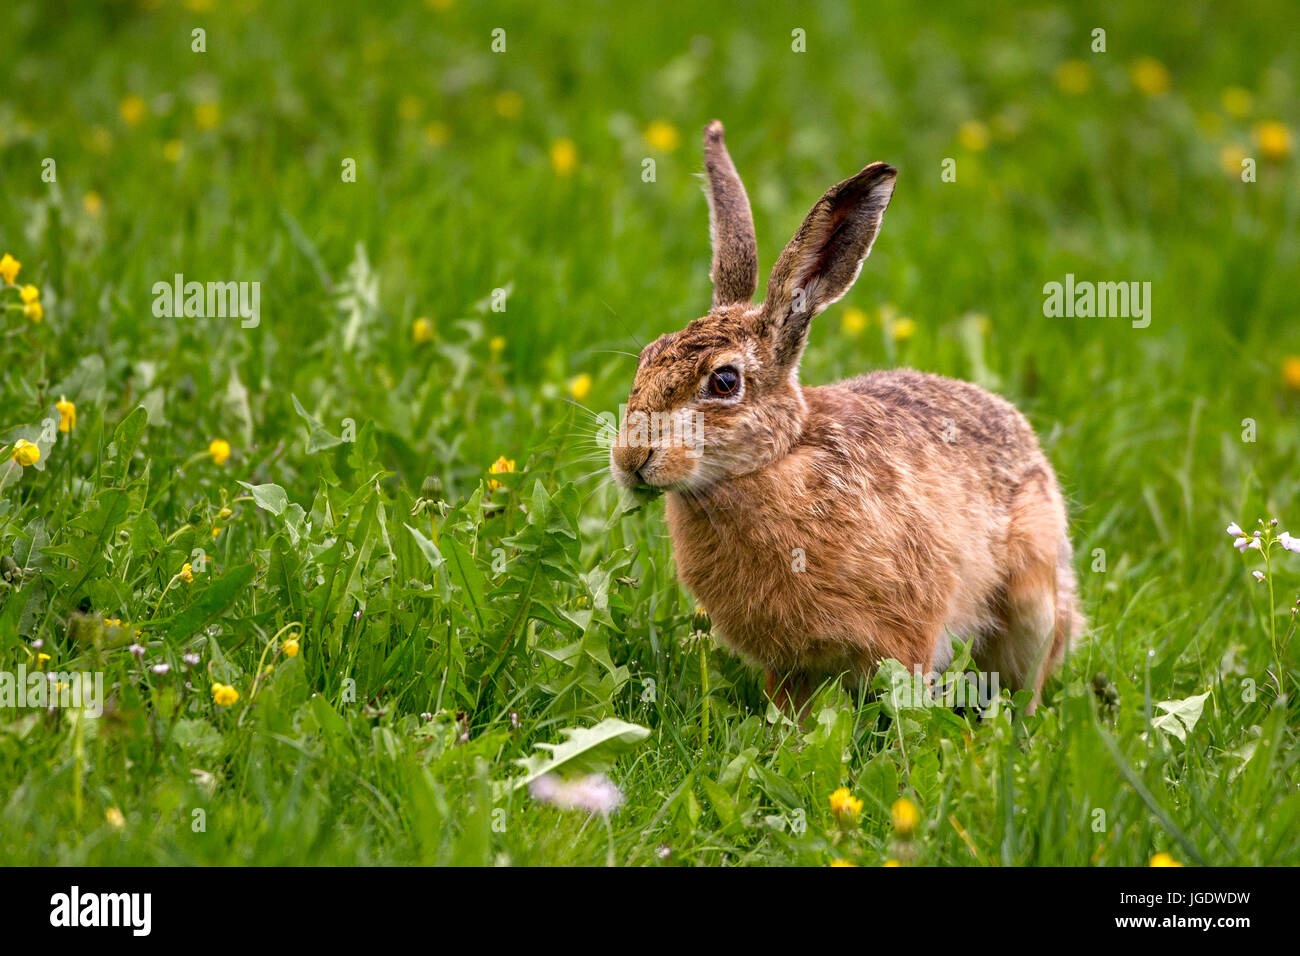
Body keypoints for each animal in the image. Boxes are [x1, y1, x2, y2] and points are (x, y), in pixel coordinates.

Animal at [610, 120, 1084, 714]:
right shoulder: (788, 665)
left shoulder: (911, 636)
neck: (775, 461)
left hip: (1032, 602)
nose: (629, 456)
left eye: (724, 382)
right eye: (649, 356)